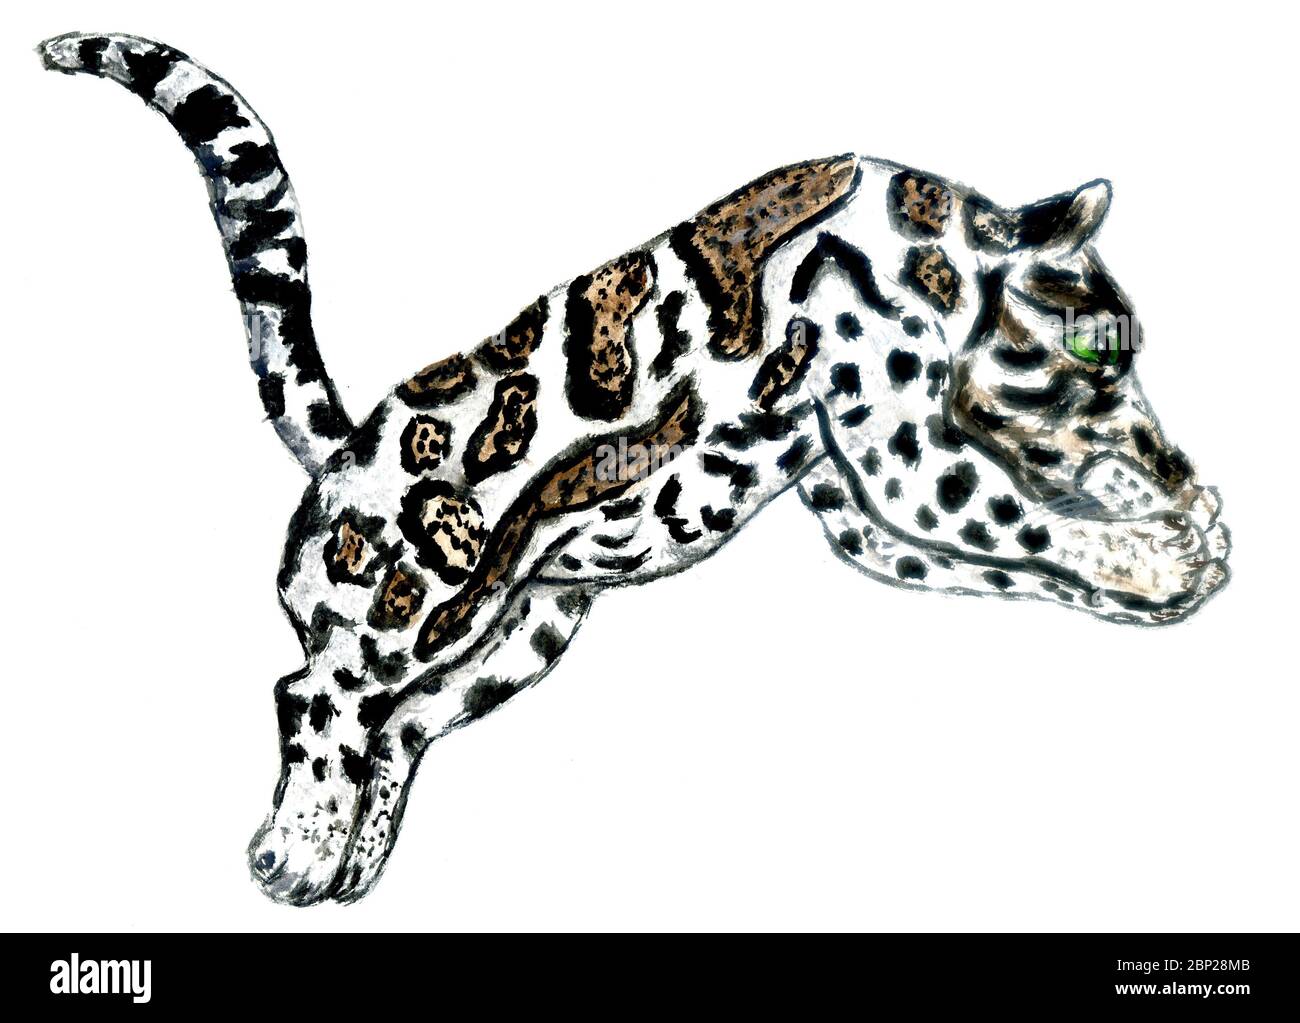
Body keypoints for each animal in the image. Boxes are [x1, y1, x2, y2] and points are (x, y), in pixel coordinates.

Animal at [40, 32, 1230, 905]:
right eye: (1104, 353)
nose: (1176, 463)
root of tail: (342, 450)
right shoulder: (901, 450)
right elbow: (1012, 517)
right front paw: (1167, 551)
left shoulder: (855, 503)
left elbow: (999, 561)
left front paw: (1176, 556)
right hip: (414, 606)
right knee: (315, 693)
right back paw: (294, 849)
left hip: (519, 634)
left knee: (401, 724)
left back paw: (357, 863)